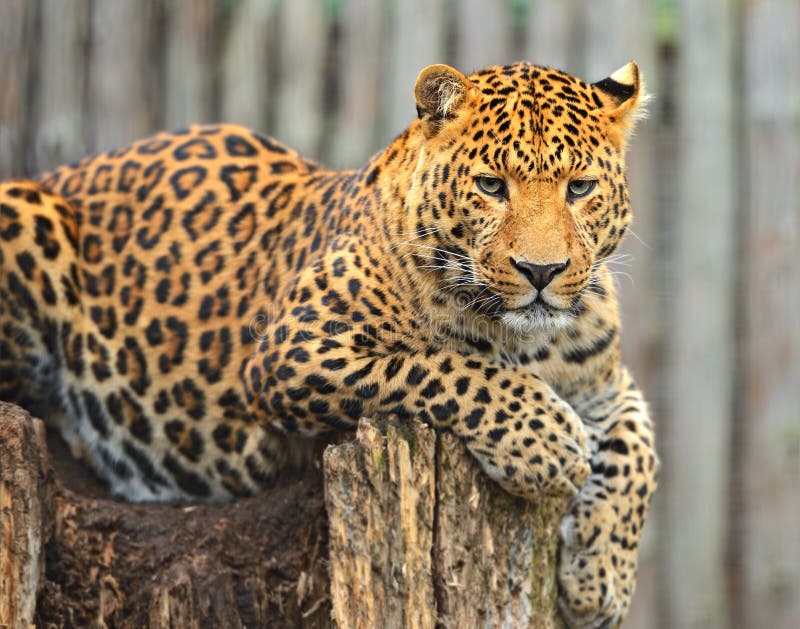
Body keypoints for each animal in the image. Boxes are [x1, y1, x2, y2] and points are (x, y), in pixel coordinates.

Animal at [0, 60, 658, 627]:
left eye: (581, 187)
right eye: (492, 185)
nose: (541, 271)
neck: (529, 340)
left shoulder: (607, 385)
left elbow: (638, 456)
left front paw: (600, 580)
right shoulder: (294, 348)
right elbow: (444, 367)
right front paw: (546, 446)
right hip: (25, 211)